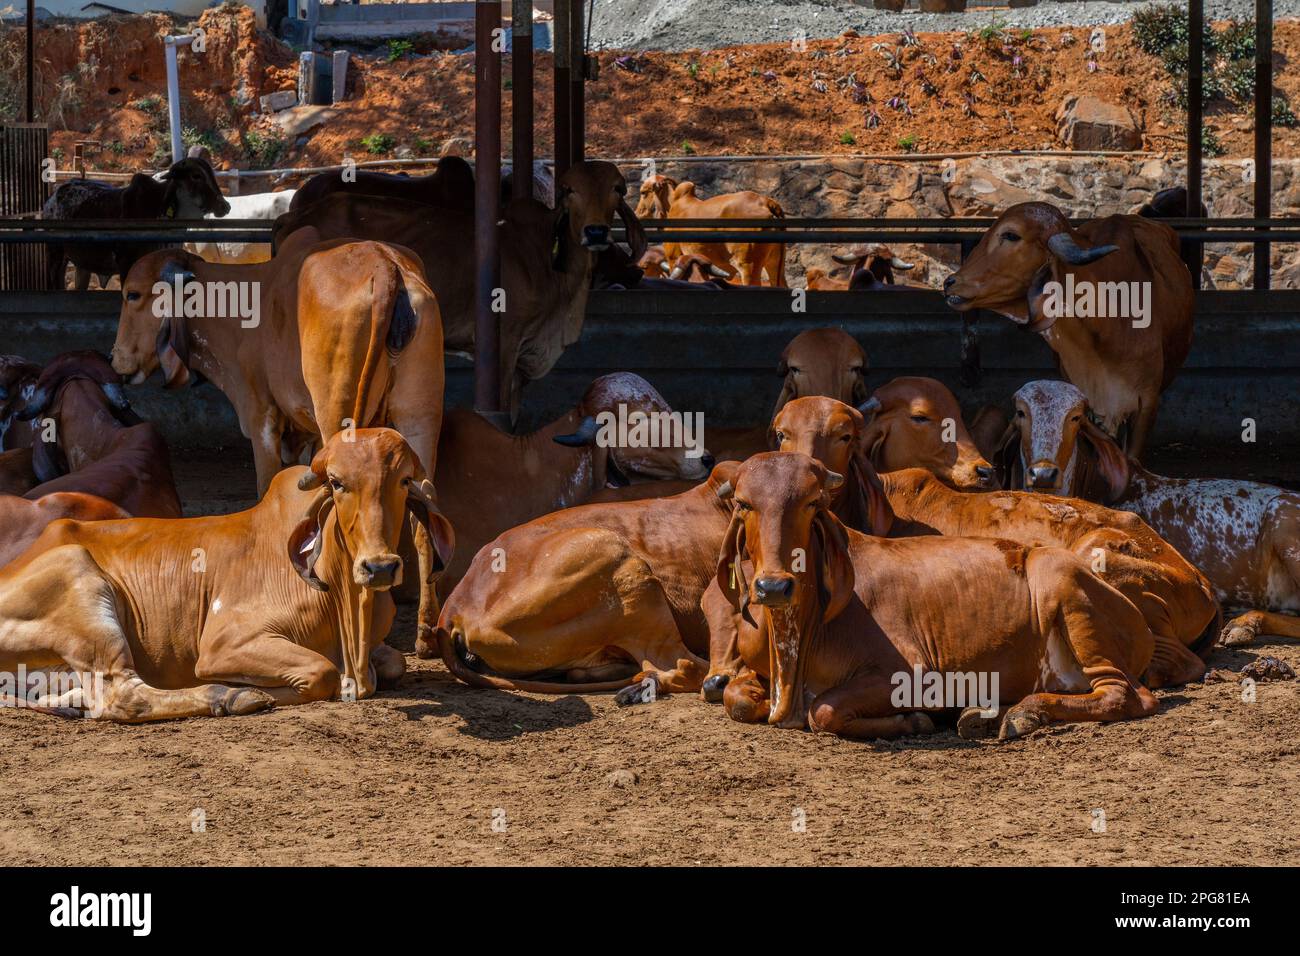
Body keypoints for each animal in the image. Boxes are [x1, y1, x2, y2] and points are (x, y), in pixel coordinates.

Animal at [0, 429, 453, 721]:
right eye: (337, 483)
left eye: (404, 480)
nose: (380, 566)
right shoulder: (224, 644)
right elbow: (322, 673)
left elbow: (394, 663)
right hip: (81, 582)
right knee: (122, 697)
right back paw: (230, 695)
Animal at [41, 157, 230, 290]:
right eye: (196, 176)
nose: (225, 206)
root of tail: (53, 196)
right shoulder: (127, 264)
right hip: (55, 258)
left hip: (83, 266)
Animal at [110, 230, 443, 495]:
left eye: (132, 294)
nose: (114, 357)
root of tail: (384, 264)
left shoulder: (262, 418)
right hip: (419, 419)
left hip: (336, 417)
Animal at [635, 175, 786, 287]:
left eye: (643, 192)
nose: (637, 213)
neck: (672, 204)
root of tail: (767, 202)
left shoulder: (674, 257)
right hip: (775, 264)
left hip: (748, 266)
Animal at [712, 452, 1159, 739]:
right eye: (744, 503)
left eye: (810, 502)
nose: (773, 586)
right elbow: (735, 699)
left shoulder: (913, 673)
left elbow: (821, 710)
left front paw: (912, 721)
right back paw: (987, 713)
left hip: (1059, 578)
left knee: (1125, 695)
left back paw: (1021, 714)